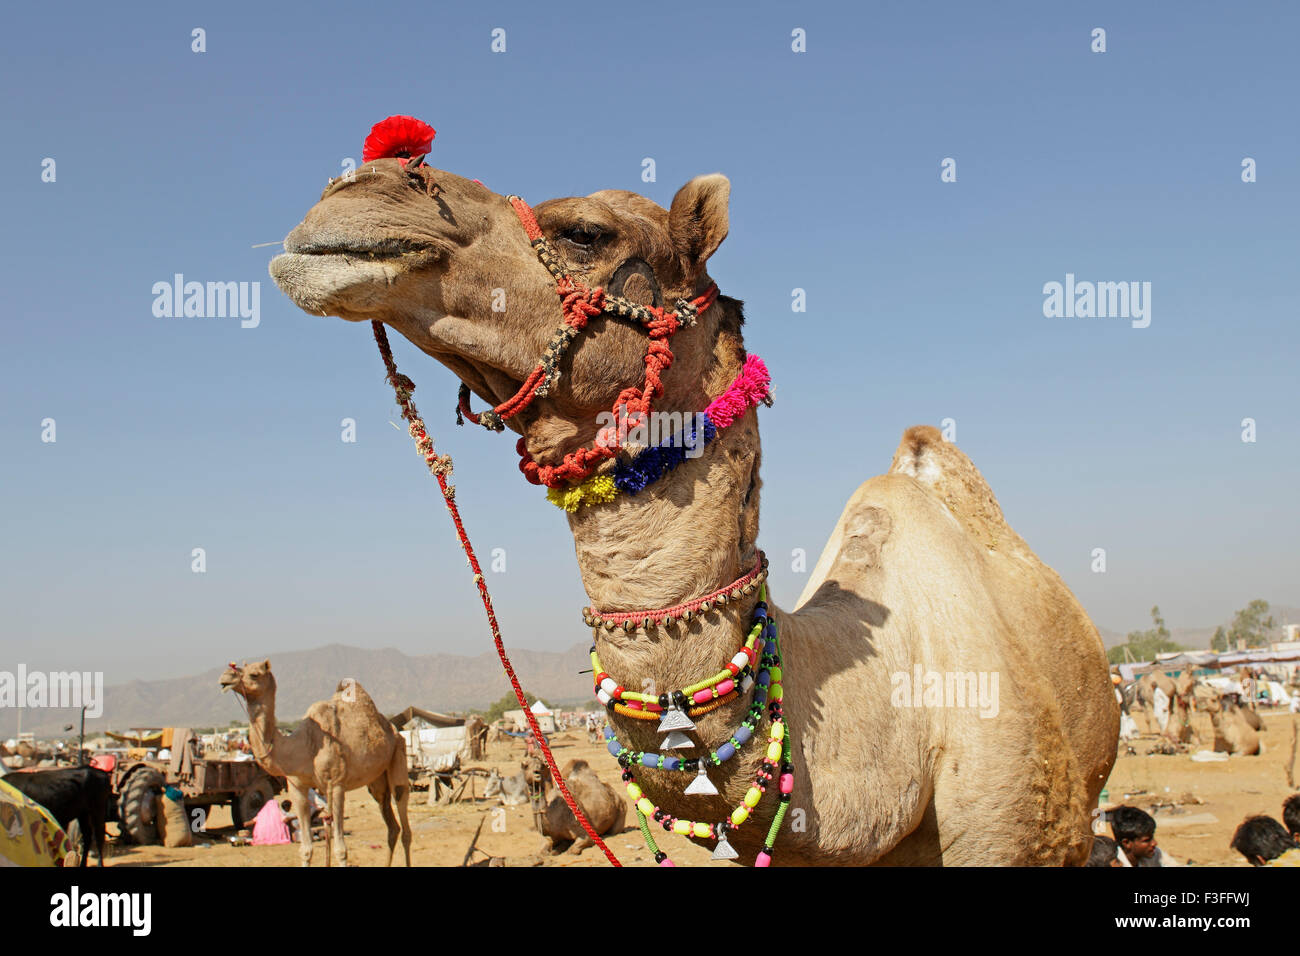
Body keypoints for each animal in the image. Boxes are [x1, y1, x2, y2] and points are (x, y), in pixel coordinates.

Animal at [220, 661, 412, 866]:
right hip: (377, 781)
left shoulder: (336, 785)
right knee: (392, 826)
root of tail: (393, 729)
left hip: (398, 754)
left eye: (254, 674)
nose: (225, 677)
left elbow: (340, 849)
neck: (305, 746)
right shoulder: (298, 787)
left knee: (404, 819)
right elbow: (306, 849)